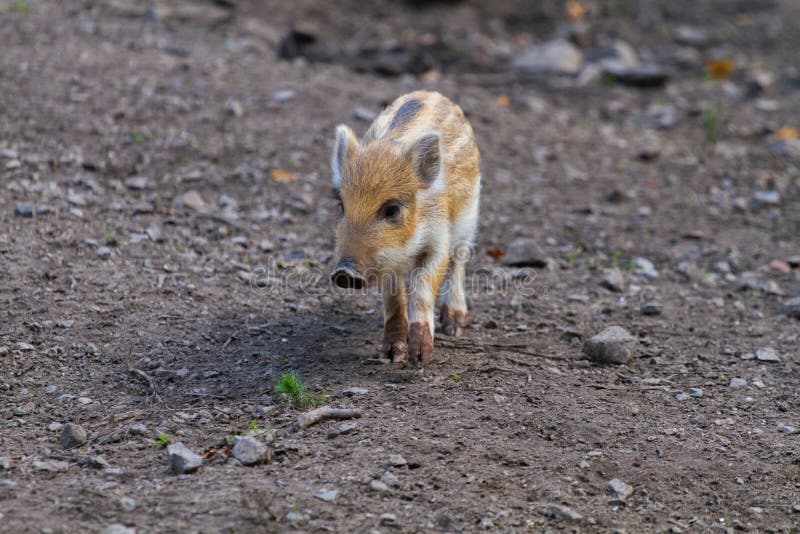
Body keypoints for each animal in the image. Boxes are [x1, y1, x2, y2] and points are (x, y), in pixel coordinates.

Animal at [329, 90, 481, 367]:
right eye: (341, 206)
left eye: (391, 209)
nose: (344, 272)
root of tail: (435, 95)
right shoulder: (386, 260)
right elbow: (393, 298)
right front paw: (391, 355)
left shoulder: (439, 239)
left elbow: (423, 288)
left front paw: (420, 359)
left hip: (468, 217)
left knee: (459, 261)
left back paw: (454, 326)